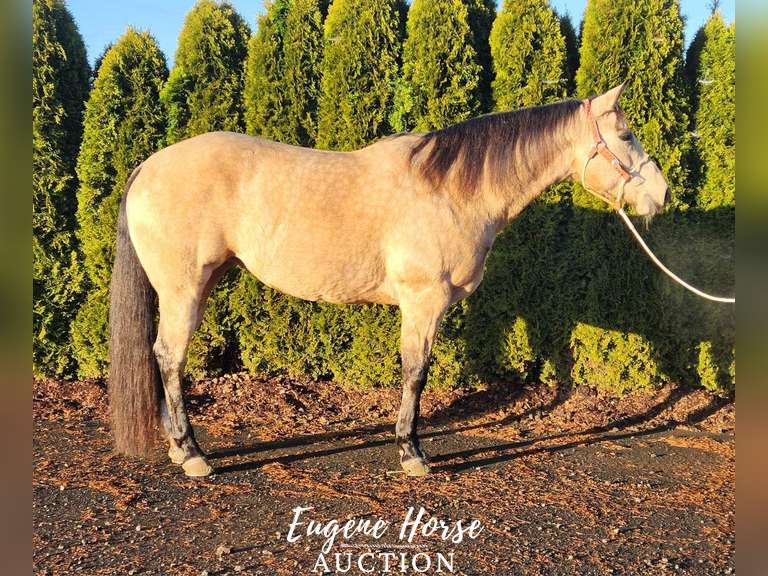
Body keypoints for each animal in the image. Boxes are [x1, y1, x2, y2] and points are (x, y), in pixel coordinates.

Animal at [108, 83, 668, 478]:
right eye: (625, 136)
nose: (660, 195)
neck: (451, 189)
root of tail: (146, 168)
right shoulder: (424, 301)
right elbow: (416, 373)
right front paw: (412, 453)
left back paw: (178, 447)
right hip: (184, 290)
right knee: (170, 358)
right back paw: (193, 455)